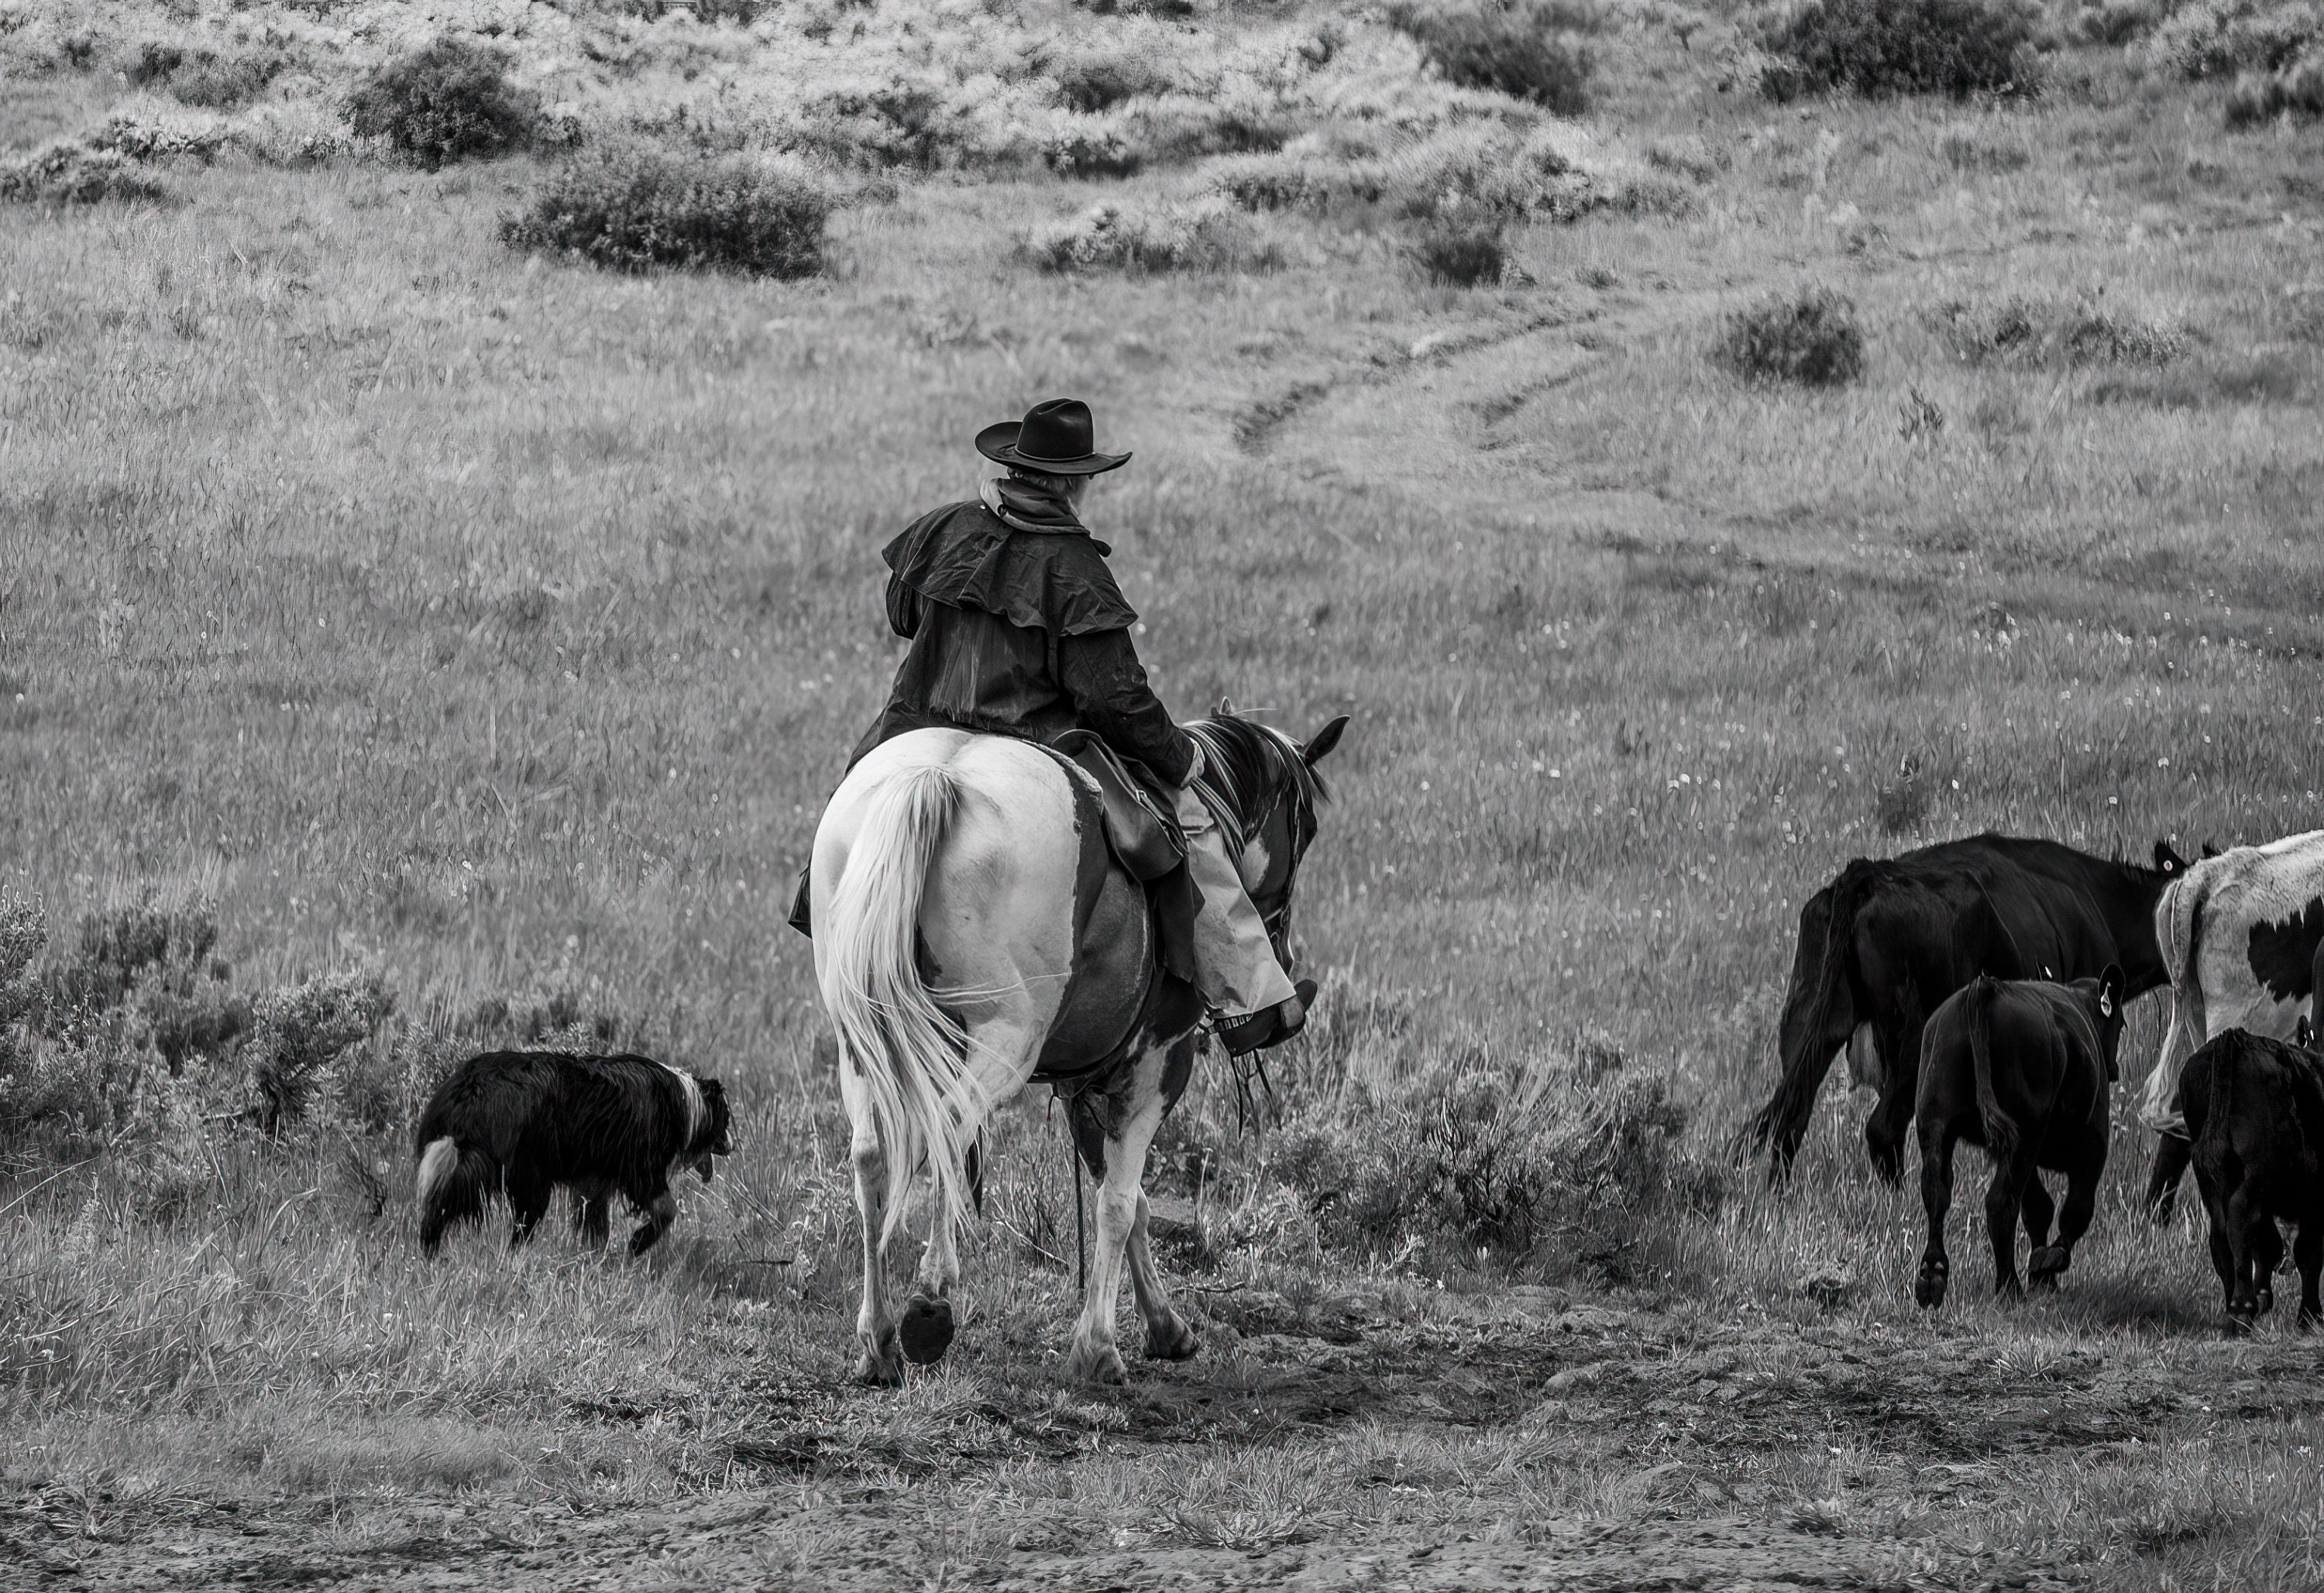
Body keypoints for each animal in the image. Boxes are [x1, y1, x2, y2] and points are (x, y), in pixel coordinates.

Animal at [1913, 967, 2125, 1307]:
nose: (2114, 1067)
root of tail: (1985, 987)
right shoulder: (2093, 1146)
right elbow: (2076, 1210)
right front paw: (2051, 1262)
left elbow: (2038, 1207)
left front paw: (2043, 1276)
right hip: (2024, 1134)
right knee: (2000, 1202)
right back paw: (2009, 1286)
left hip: (1935, 1124)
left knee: (1936, 1191)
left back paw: (1932, 1276)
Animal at [2176, 1024, 2324, 1331]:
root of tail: (2233, 1038)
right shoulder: (2314, 1196)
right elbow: (2309, 1252)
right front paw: (2310, 1315)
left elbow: (2270, 1245)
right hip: (2254, 1172)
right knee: (2241, 1220)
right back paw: (2243, 1307)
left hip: (2215, 1179)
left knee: (2222, 1232)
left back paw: (2235, 1306)